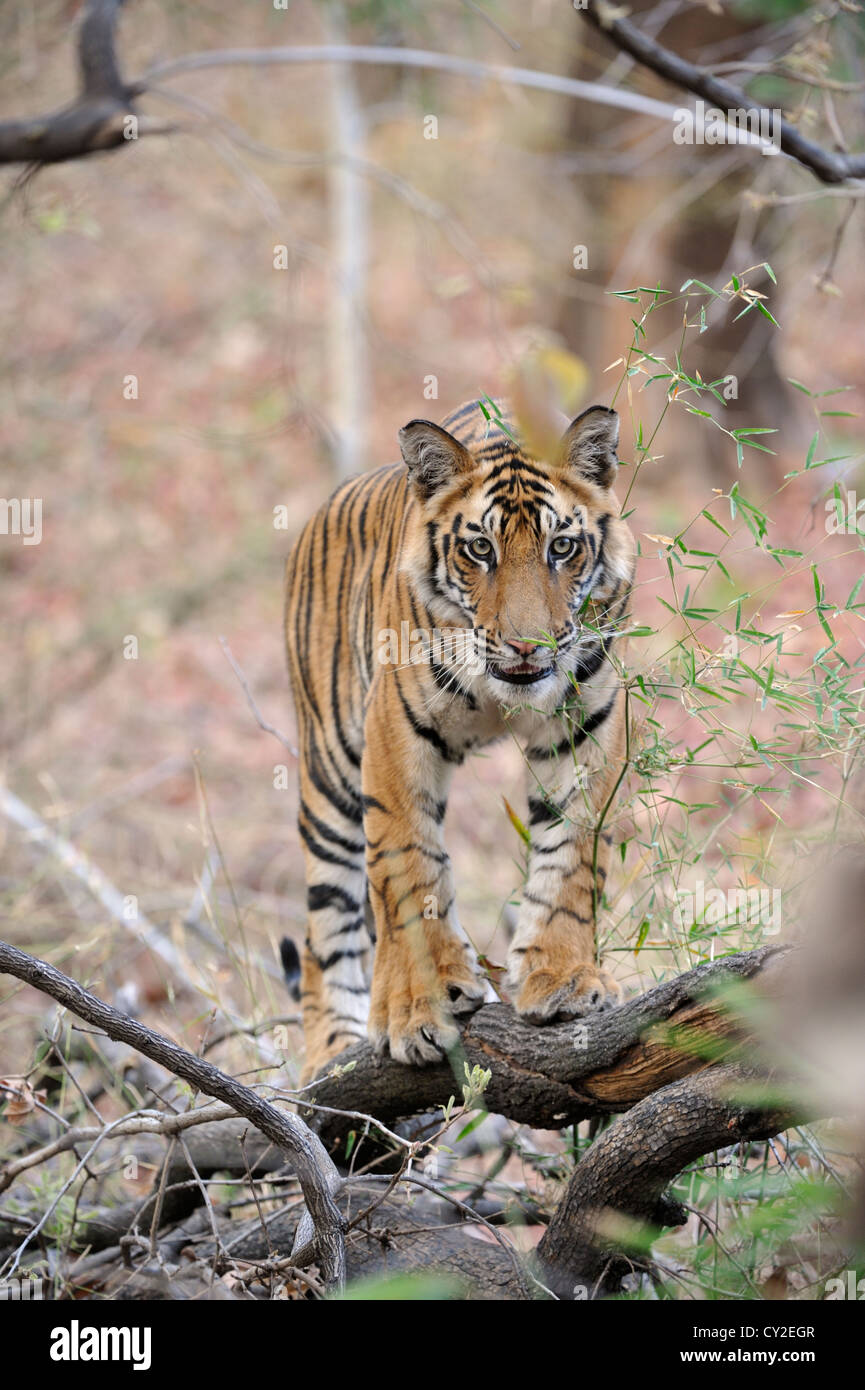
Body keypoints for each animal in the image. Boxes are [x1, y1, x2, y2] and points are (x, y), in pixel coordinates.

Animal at [283, 398, 635, 1076]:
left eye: (561, 546)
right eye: (479, 548)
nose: (528, 645)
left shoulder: (586, 726)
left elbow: (571, 861)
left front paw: (565, 979)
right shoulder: (395, 730)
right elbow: (407, 865)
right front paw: (416, 1011)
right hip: (329, 774)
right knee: (322, 929)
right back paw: (332, 1052)